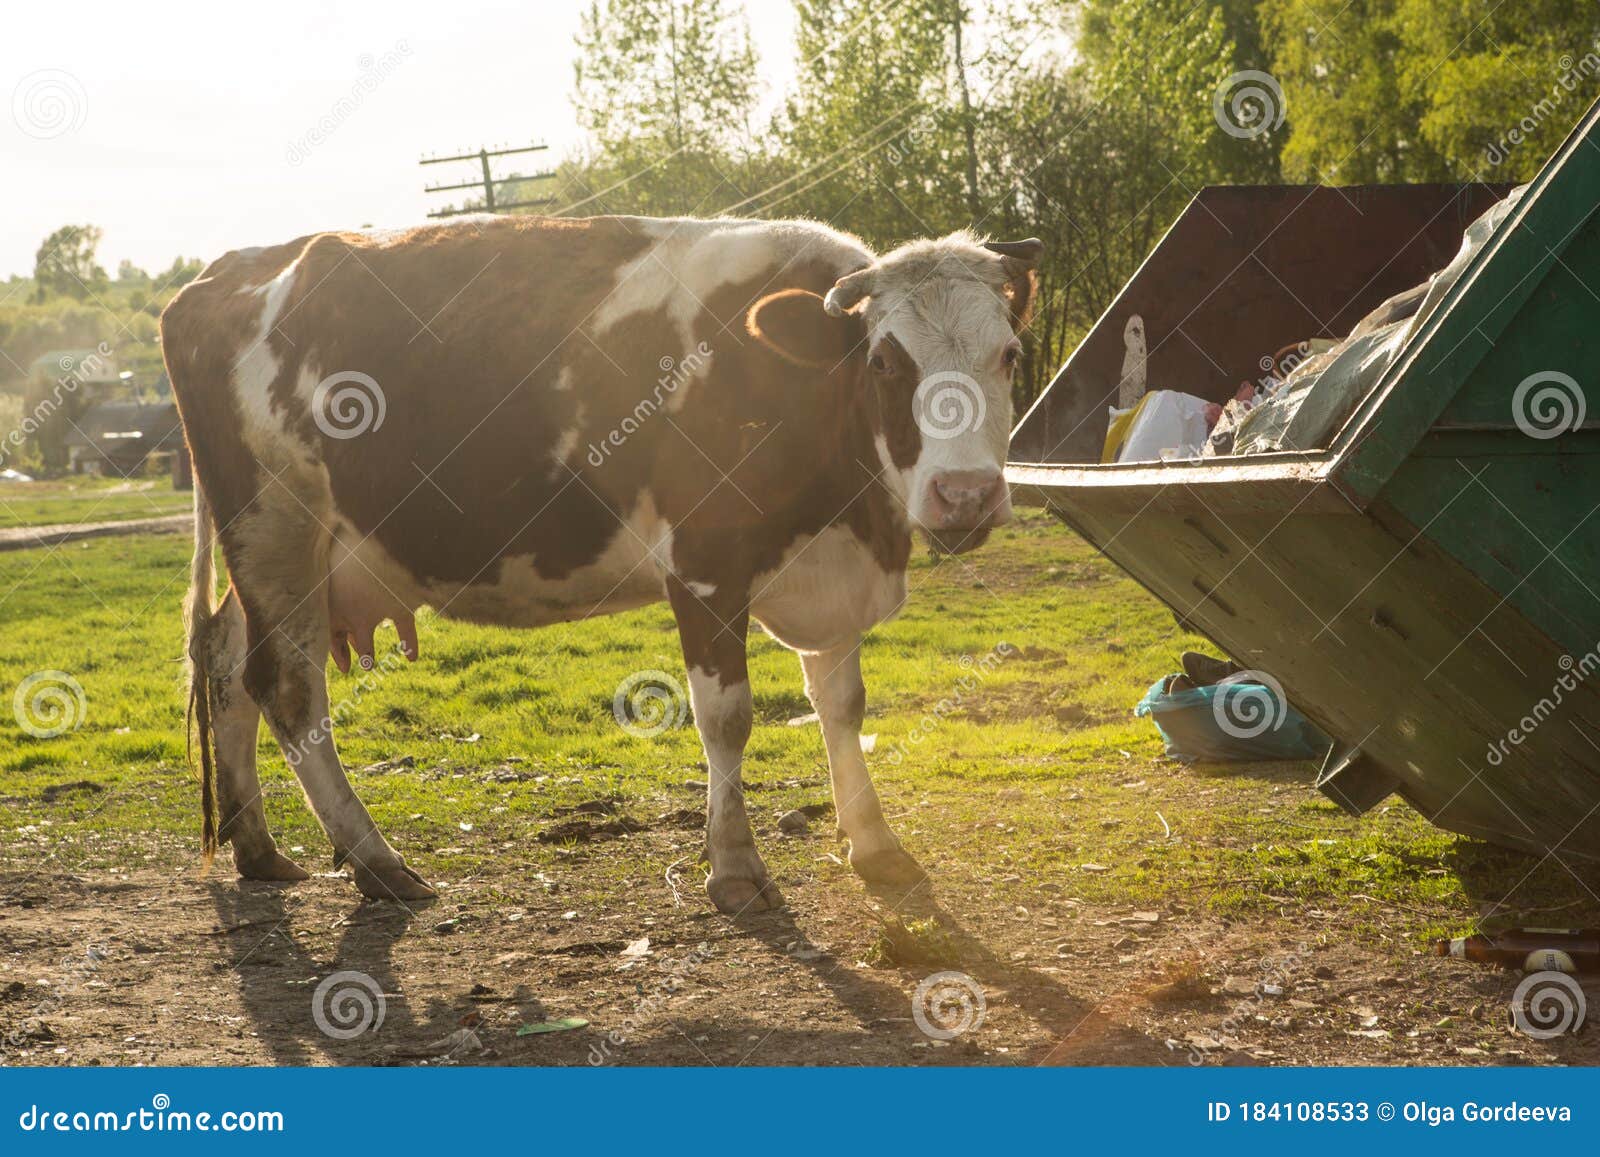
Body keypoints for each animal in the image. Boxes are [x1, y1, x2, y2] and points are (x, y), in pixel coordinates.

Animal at [161, 215, 1039, 912]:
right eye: (886, 362)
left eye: (1009, 354)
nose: (966, 494)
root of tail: (225, 271)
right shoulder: (705, 566)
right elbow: (727, 717)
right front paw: (734, 866)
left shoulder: (833, 574)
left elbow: (841, 705)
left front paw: (876, 845)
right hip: (276, 525)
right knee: (287, 687)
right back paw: (378, 862)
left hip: (284, 555)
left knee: (228, 664)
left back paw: (260, 849)